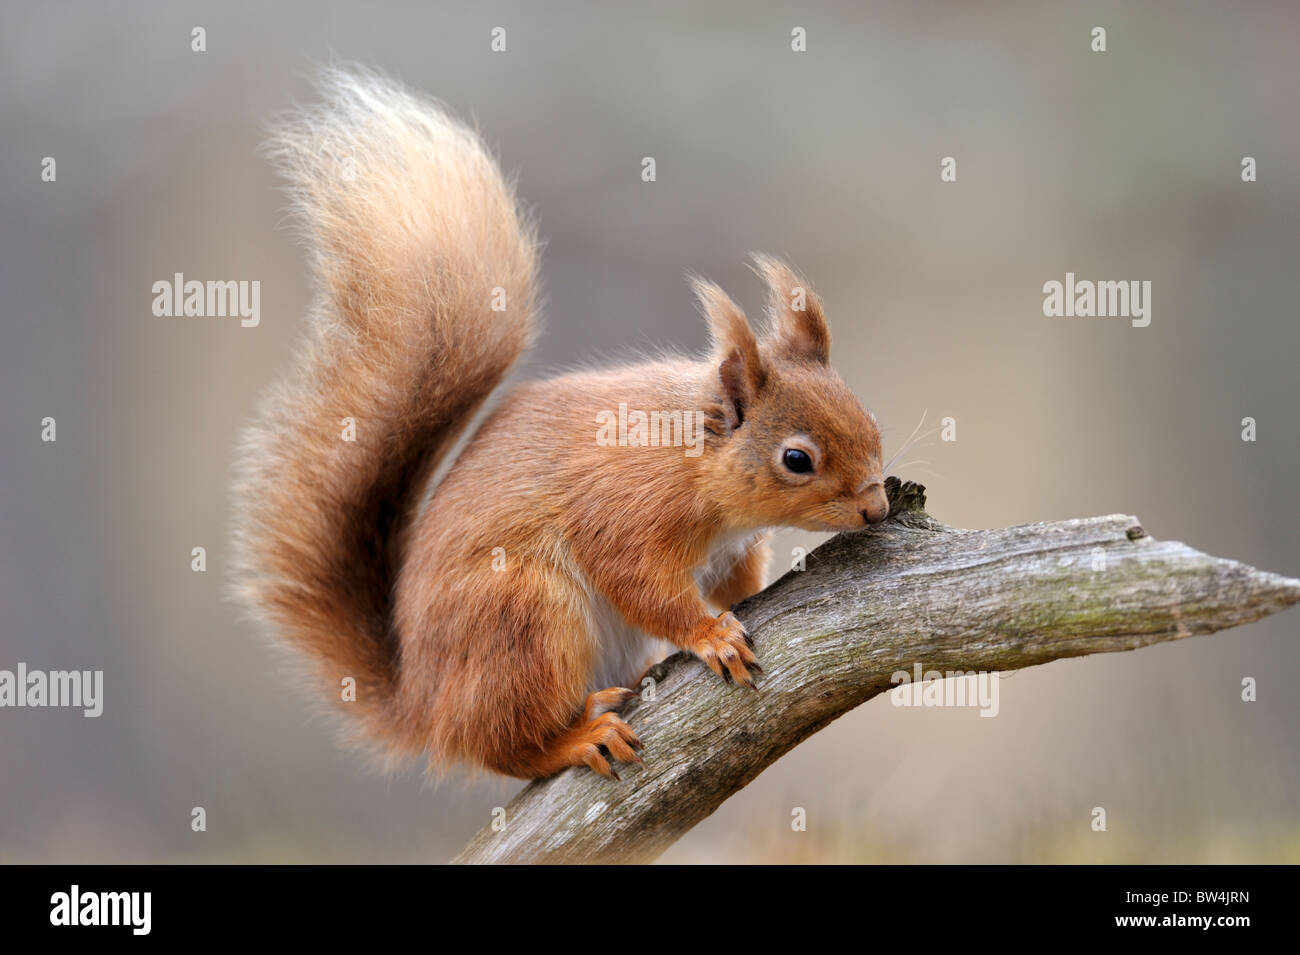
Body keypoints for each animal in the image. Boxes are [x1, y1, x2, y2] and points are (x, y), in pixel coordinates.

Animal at [233, 68, 889, 781]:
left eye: (870, 418)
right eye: (797, 460)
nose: (878, 508)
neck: (692, 457)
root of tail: (423, 706)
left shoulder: (729, 547)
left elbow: (732, 583)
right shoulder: (627, 506)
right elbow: (638, 581)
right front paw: (709, 634)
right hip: (521, 618)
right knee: (503, 747)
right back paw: (575, 738)